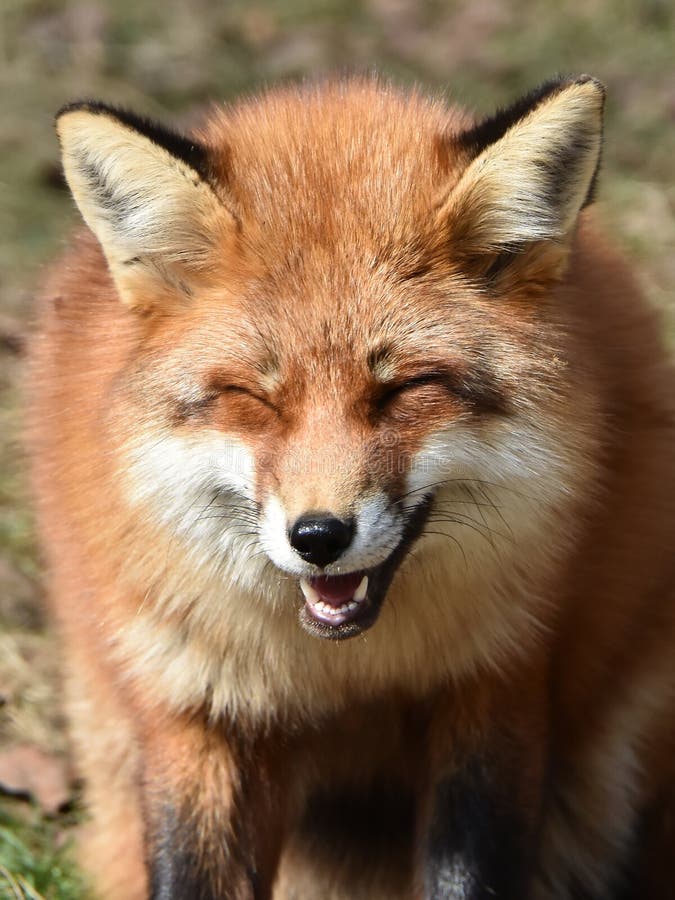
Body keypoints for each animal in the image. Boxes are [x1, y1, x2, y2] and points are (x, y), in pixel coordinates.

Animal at [27, 75, 675, 899]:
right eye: (253, 397)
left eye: (403, 390)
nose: (318, 537)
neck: (345, 672)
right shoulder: (195, 708)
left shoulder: (496, 687)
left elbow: (470, 873)